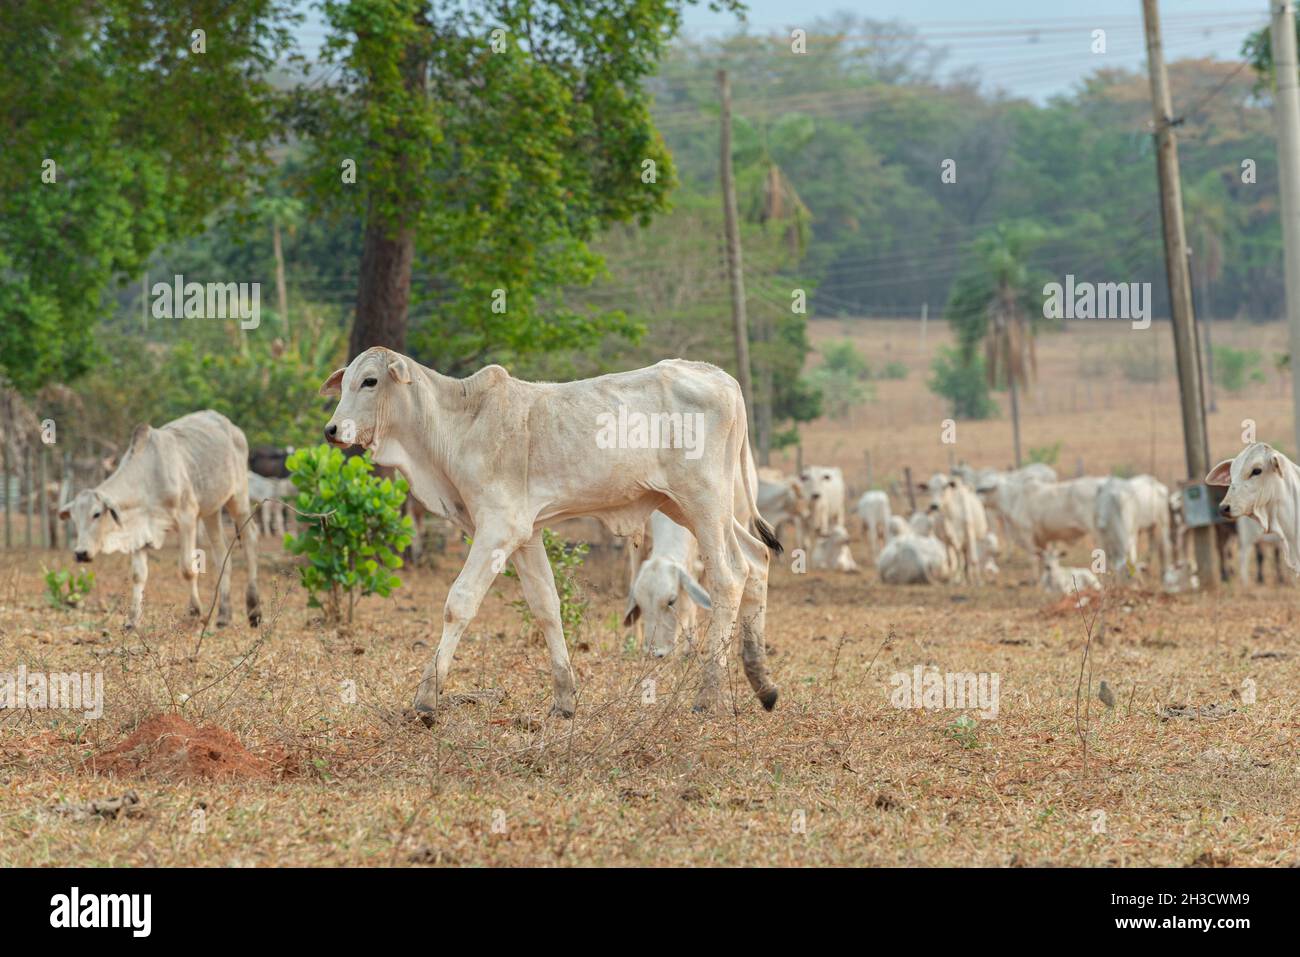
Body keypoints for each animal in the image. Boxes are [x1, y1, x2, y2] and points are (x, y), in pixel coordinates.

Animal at [58, 411, 260, 629]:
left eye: (96, 513)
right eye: (74, 519)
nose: (81, 553)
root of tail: (232, 427)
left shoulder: (187, 518)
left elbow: (187, 569)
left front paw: (195, 611)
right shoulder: (139, 531)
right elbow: (138, 575)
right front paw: (132, 620)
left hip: (238, 498)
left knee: (250, 540)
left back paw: (254, 610)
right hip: (211, 511)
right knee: (222, 554)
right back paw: (224, 616)